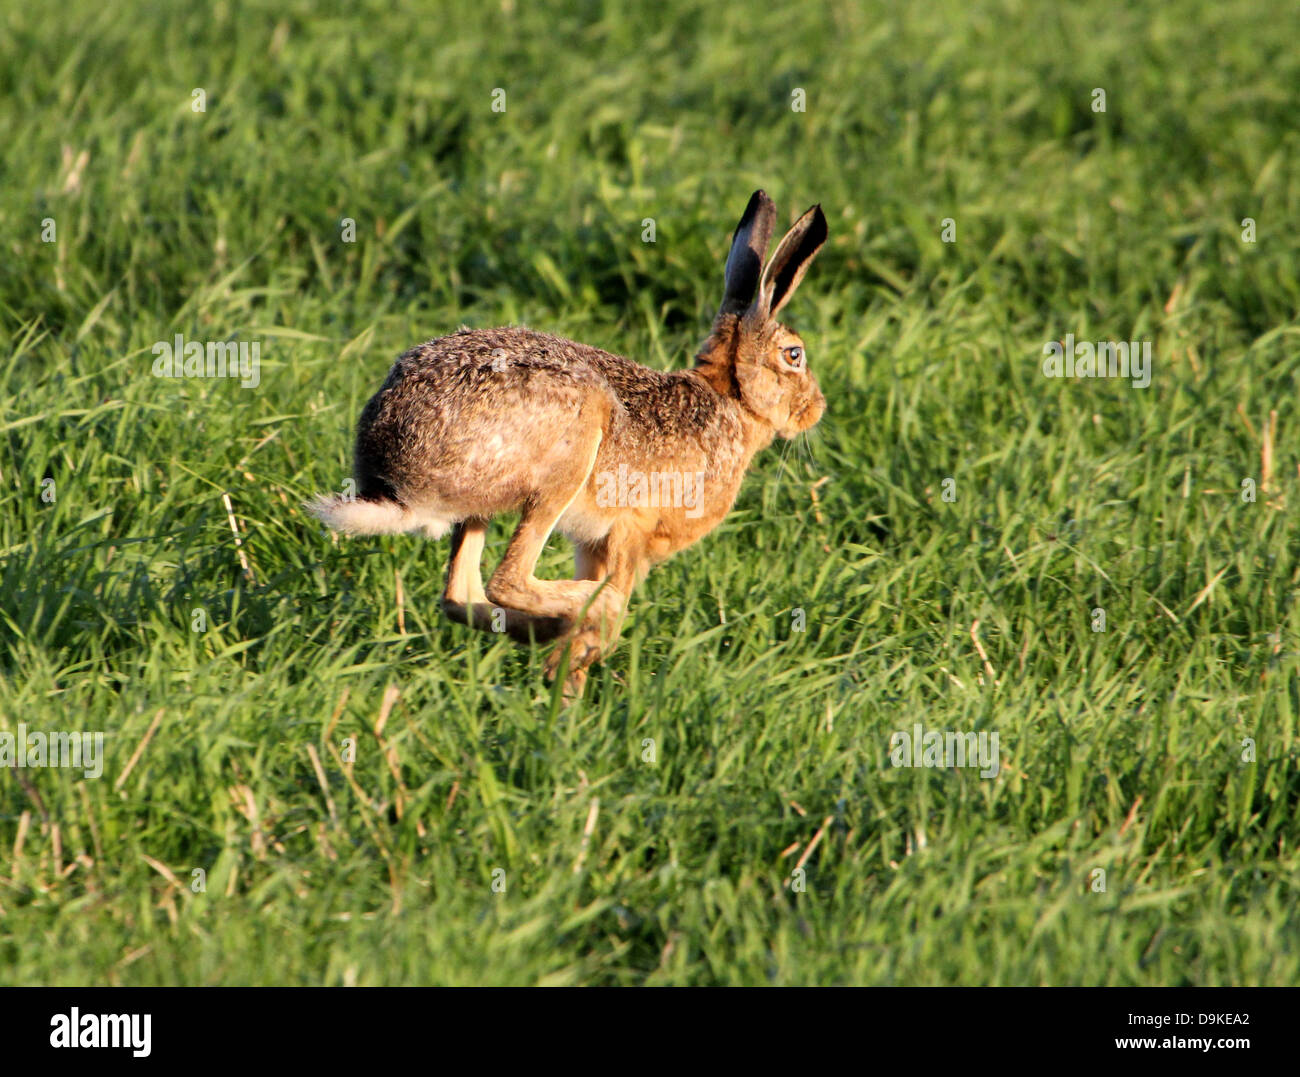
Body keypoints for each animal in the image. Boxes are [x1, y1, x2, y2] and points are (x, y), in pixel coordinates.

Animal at [308, 189, 828, 697]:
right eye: (794, 356)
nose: (818, 407)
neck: (730, 399)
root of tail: (390, 475)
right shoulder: (628, 533)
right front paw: (579, 665)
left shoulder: (596, 542)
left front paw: (566, 685)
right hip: (567, 461)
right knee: (508, 581)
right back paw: (591, 612)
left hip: (479, 507)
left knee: (461, 595)